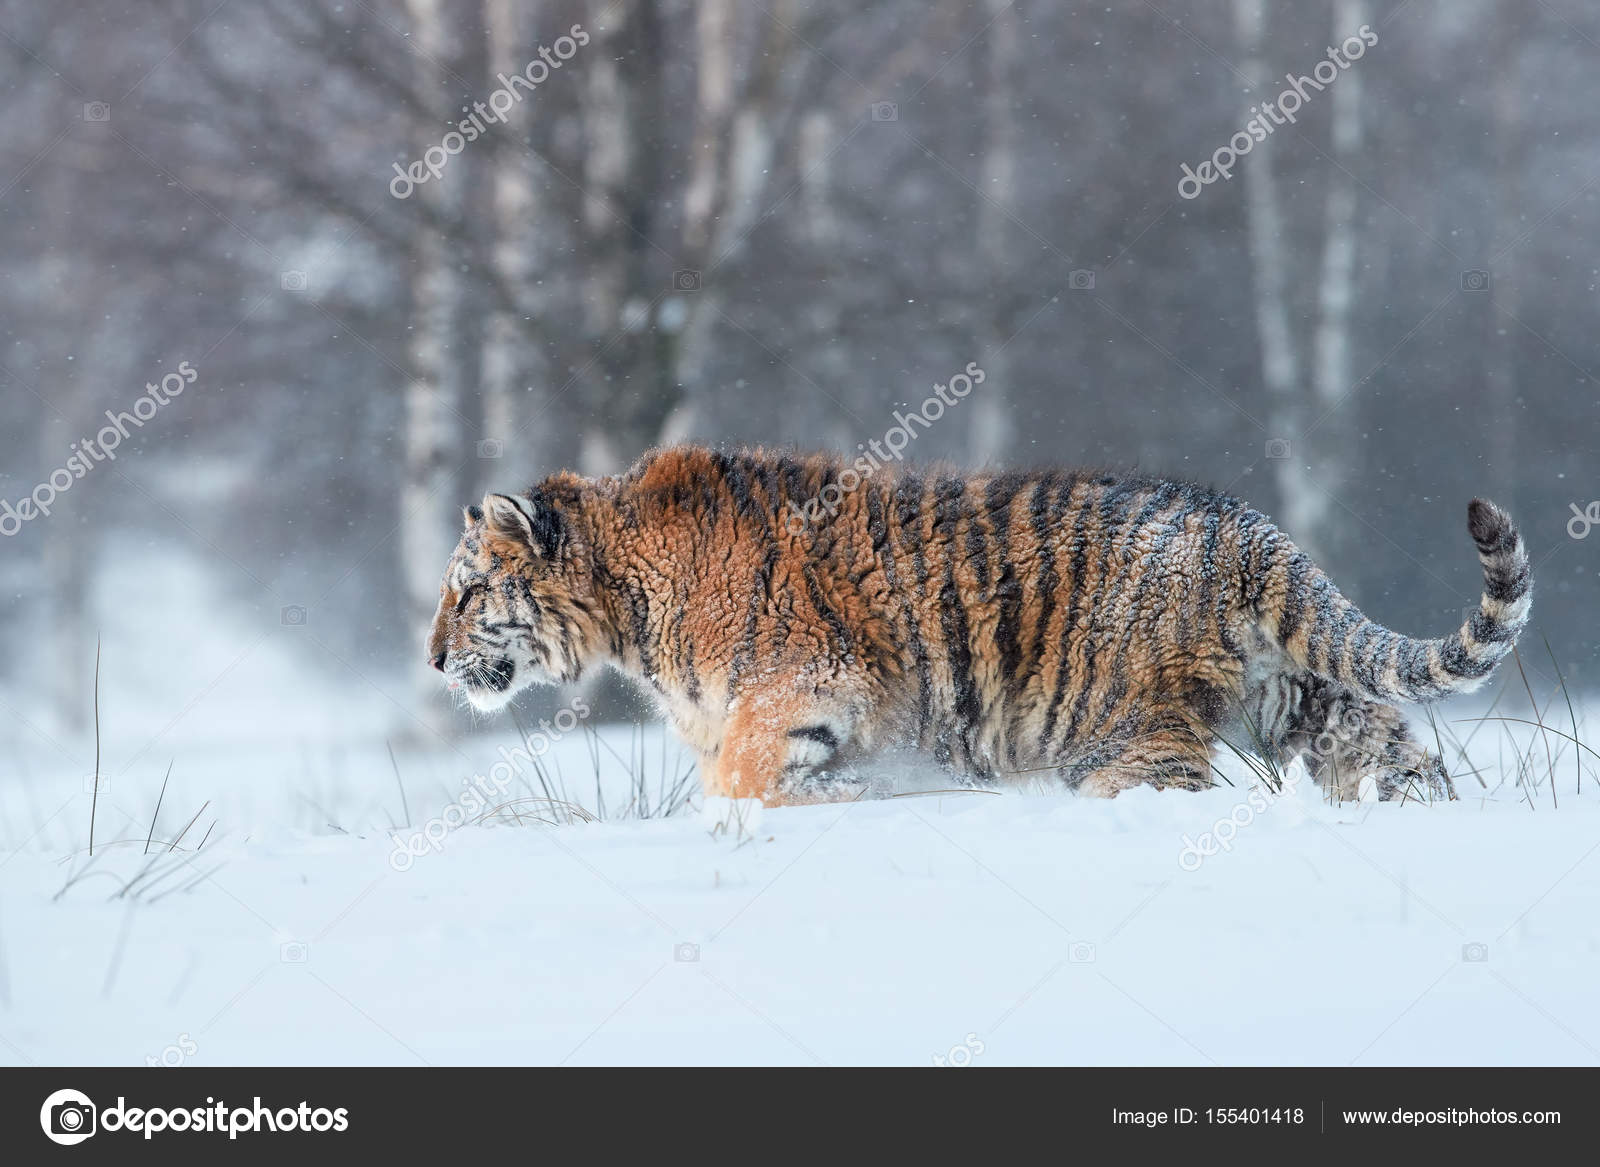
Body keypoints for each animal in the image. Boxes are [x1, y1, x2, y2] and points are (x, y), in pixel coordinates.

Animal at [425, 445, 1531, 806]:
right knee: (1401, 757)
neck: (621, 598)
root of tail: (1239, 524)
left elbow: (744, 782)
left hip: (1124, 731)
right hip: (1305, 698)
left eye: (467, 591)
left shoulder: (807, 686)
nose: (432, 659)